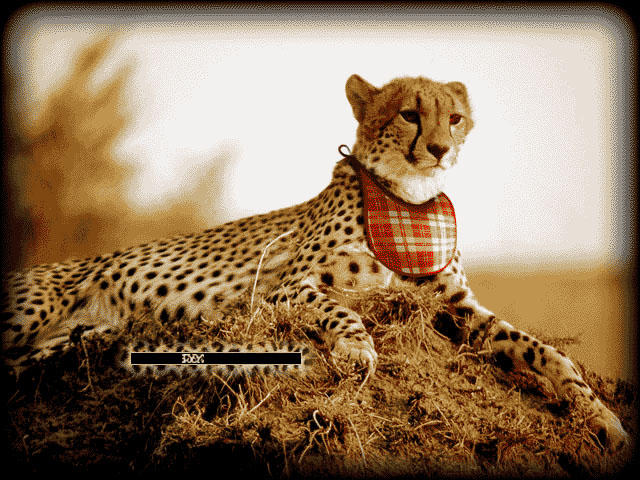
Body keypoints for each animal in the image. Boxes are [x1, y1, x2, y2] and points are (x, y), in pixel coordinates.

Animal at [0, 73, 629, 452]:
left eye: (453, 118)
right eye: (408, 114)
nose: (440, 149)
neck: (409, 202)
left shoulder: (457, 306)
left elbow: (541, 350)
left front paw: (600, 414)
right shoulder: (280, 289)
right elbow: (340, 309)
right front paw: (356, 349)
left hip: (59, 343)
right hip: (29, 314)